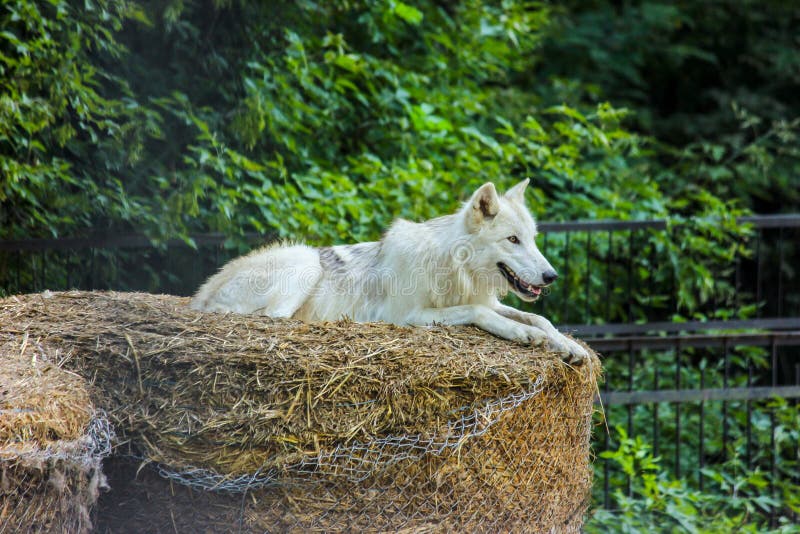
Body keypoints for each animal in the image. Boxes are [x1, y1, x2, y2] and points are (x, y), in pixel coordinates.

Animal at [190, 179, 588, 364]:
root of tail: (200, 297)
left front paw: (566, 344)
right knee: (275, 319)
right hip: (305, 261)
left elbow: (537, 317)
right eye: (513, 239)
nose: (551, 277)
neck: (453, 266)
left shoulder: (485, 299)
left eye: (533, 239)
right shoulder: (408, 315)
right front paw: (523, 334)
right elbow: (482, 312)